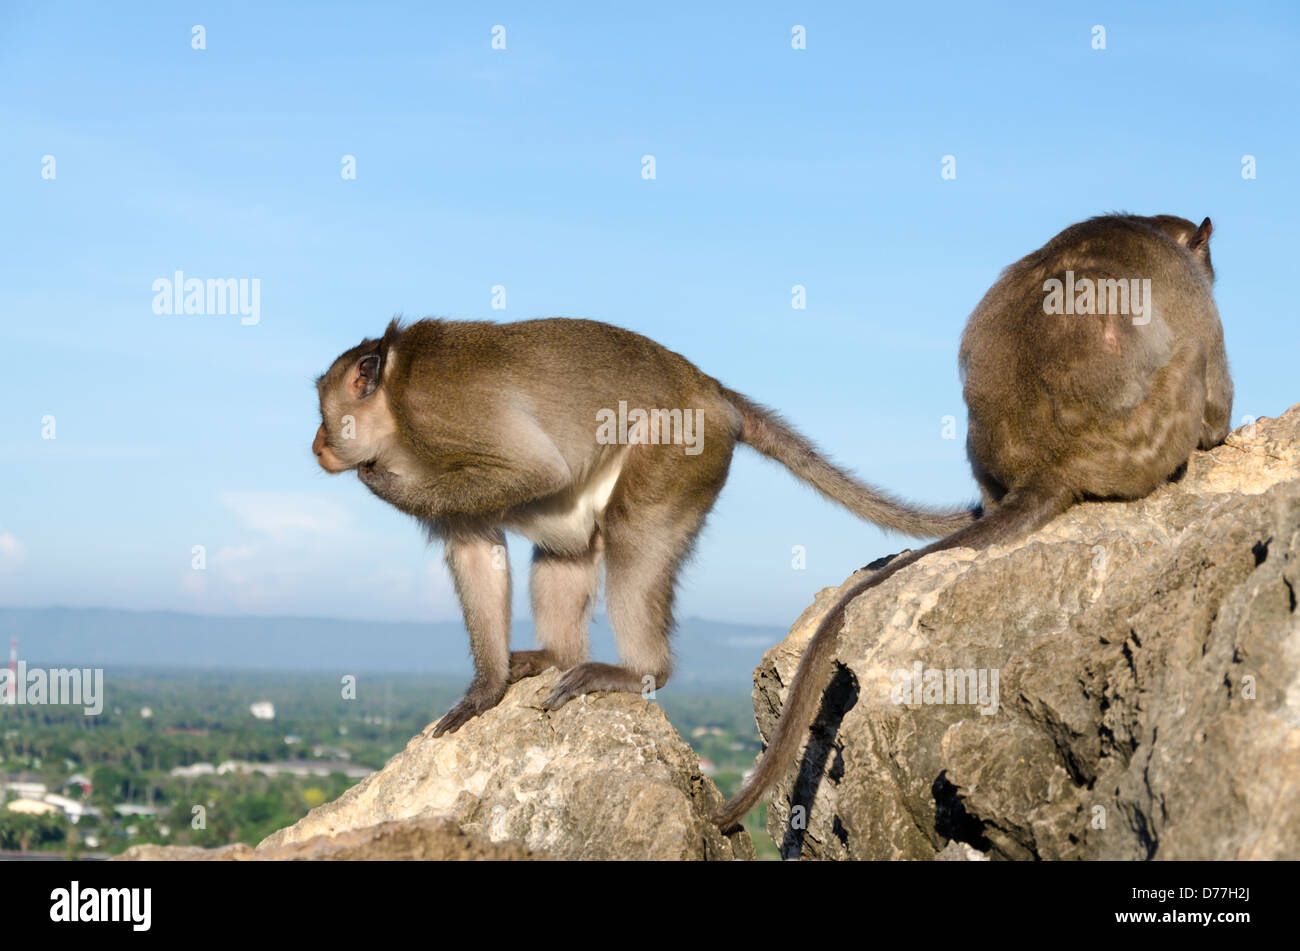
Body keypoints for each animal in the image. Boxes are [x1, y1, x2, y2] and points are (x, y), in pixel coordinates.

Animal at [313, 317, 978, 739]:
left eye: (325, 413)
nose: (317, 443)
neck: (396, 407)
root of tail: (711, 388)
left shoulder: (442, 410)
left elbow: (537, 470)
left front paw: (378, 480)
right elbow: (478, 550)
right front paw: (487, 687)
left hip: (681, 448)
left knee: (631, 536)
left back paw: (638, 673)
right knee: (569, 547)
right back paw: (557, 655)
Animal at [715, 213, 1232, 828]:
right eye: (1207, 263)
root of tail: (1052, 463)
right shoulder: (1187, 289)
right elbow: (1216, 388)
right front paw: (1221, 431)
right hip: (1152, 432)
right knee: (1194, 355)